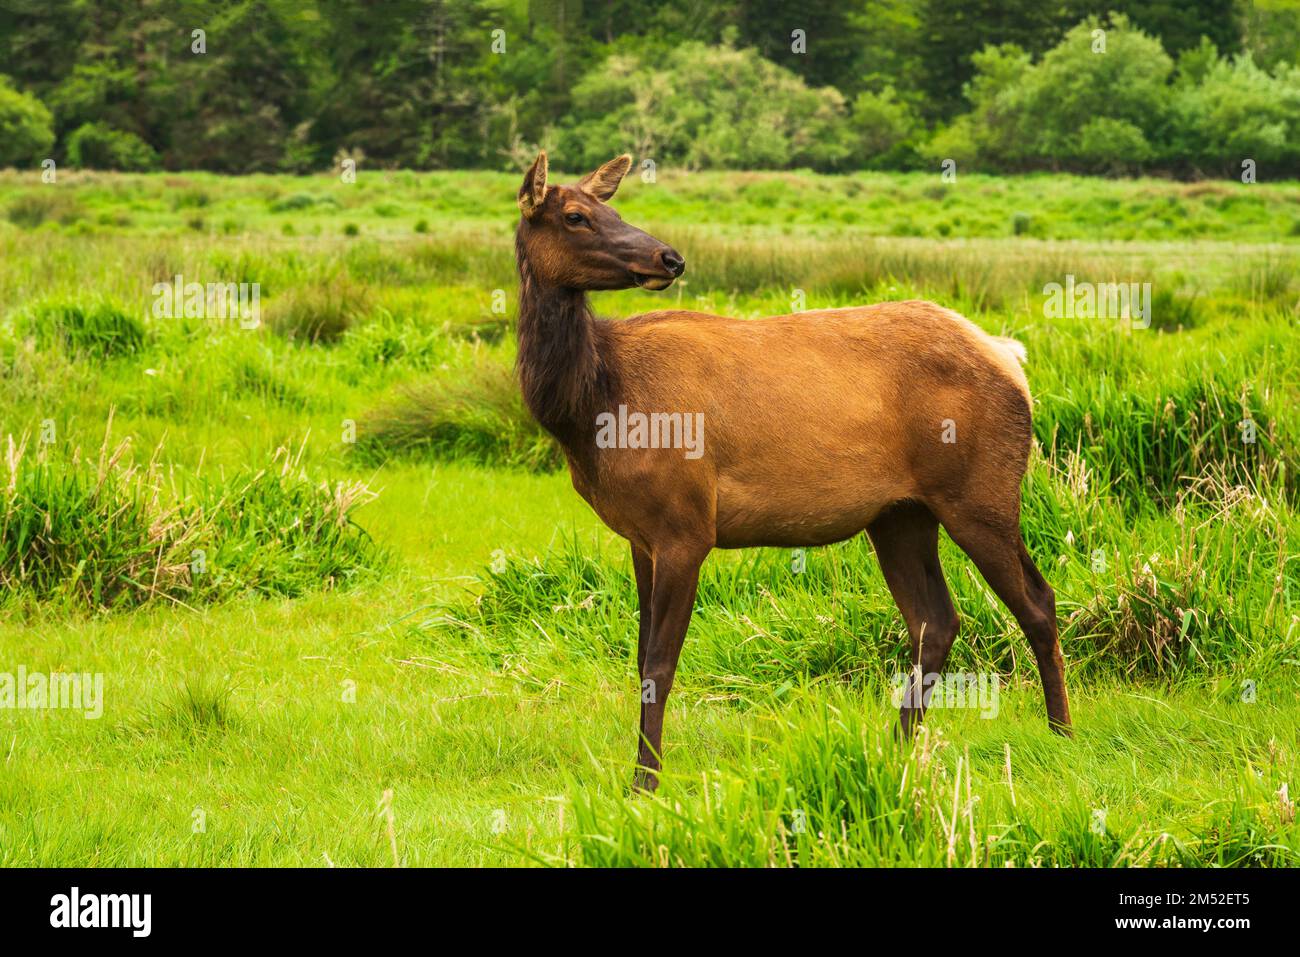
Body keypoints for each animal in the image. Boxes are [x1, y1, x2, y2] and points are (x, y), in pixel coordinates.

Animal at [513, 152, 1071, 792]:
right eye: (577, 216)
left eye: (609, 209)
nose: (669, 258)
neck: (594, 408)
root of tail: (1011, 358)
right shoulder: (640, 534)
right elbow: (637, 657)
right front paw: (641, 776)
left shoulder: (686, 524)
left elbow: (659, 662)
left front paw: (645, 782)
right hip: (900, 514)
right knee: (936, 622)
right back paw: (898, 749)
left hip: (980, 492)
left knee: (1037, 601)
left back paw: (1061, 734)